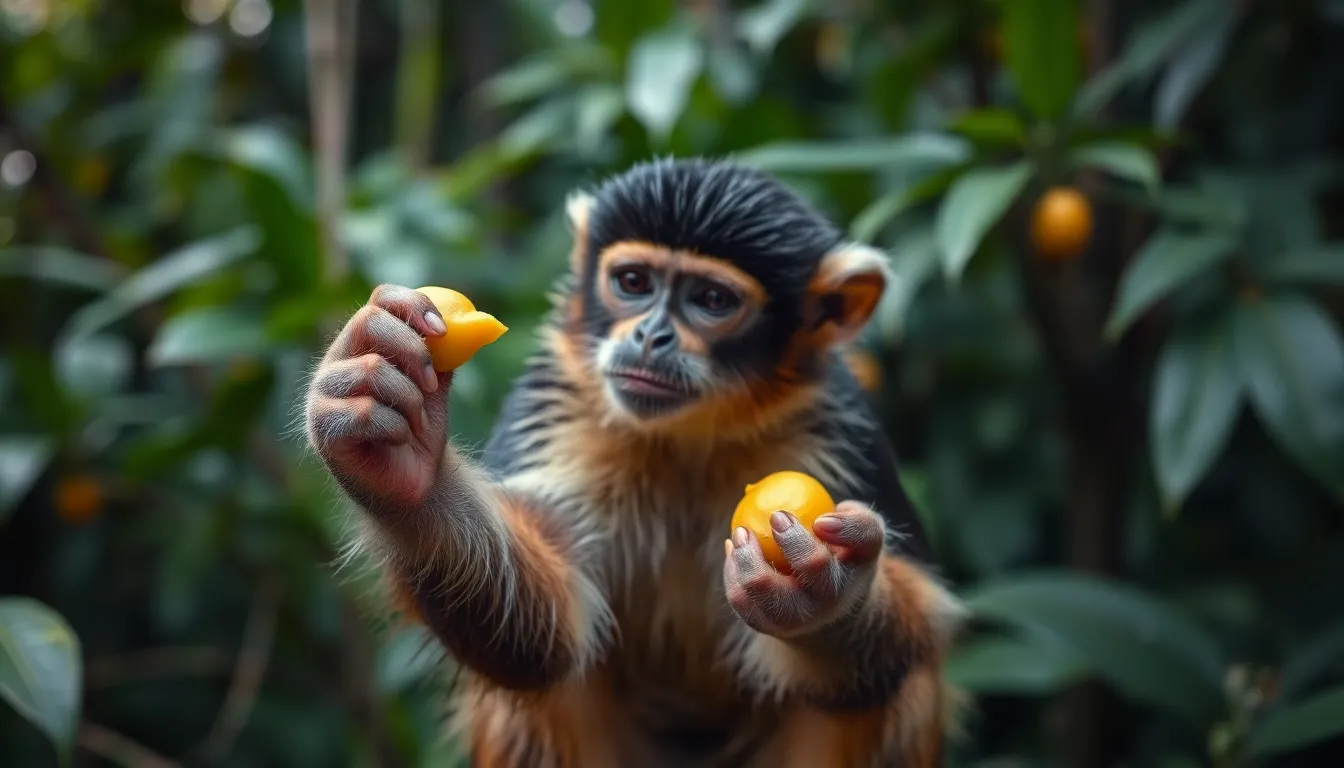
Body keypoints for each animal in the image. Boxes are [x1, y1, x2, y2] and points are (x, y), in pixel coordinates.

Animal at [303, 157, 965, 768]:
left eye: (711, 299)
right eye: (633, 282)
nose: (651, 336)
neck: (686, 438)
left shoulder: (838, 428)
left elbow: (890, 654)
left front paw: (827, 595)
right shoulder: (557, 410)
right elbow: (543, 641)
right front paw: (399, 469)